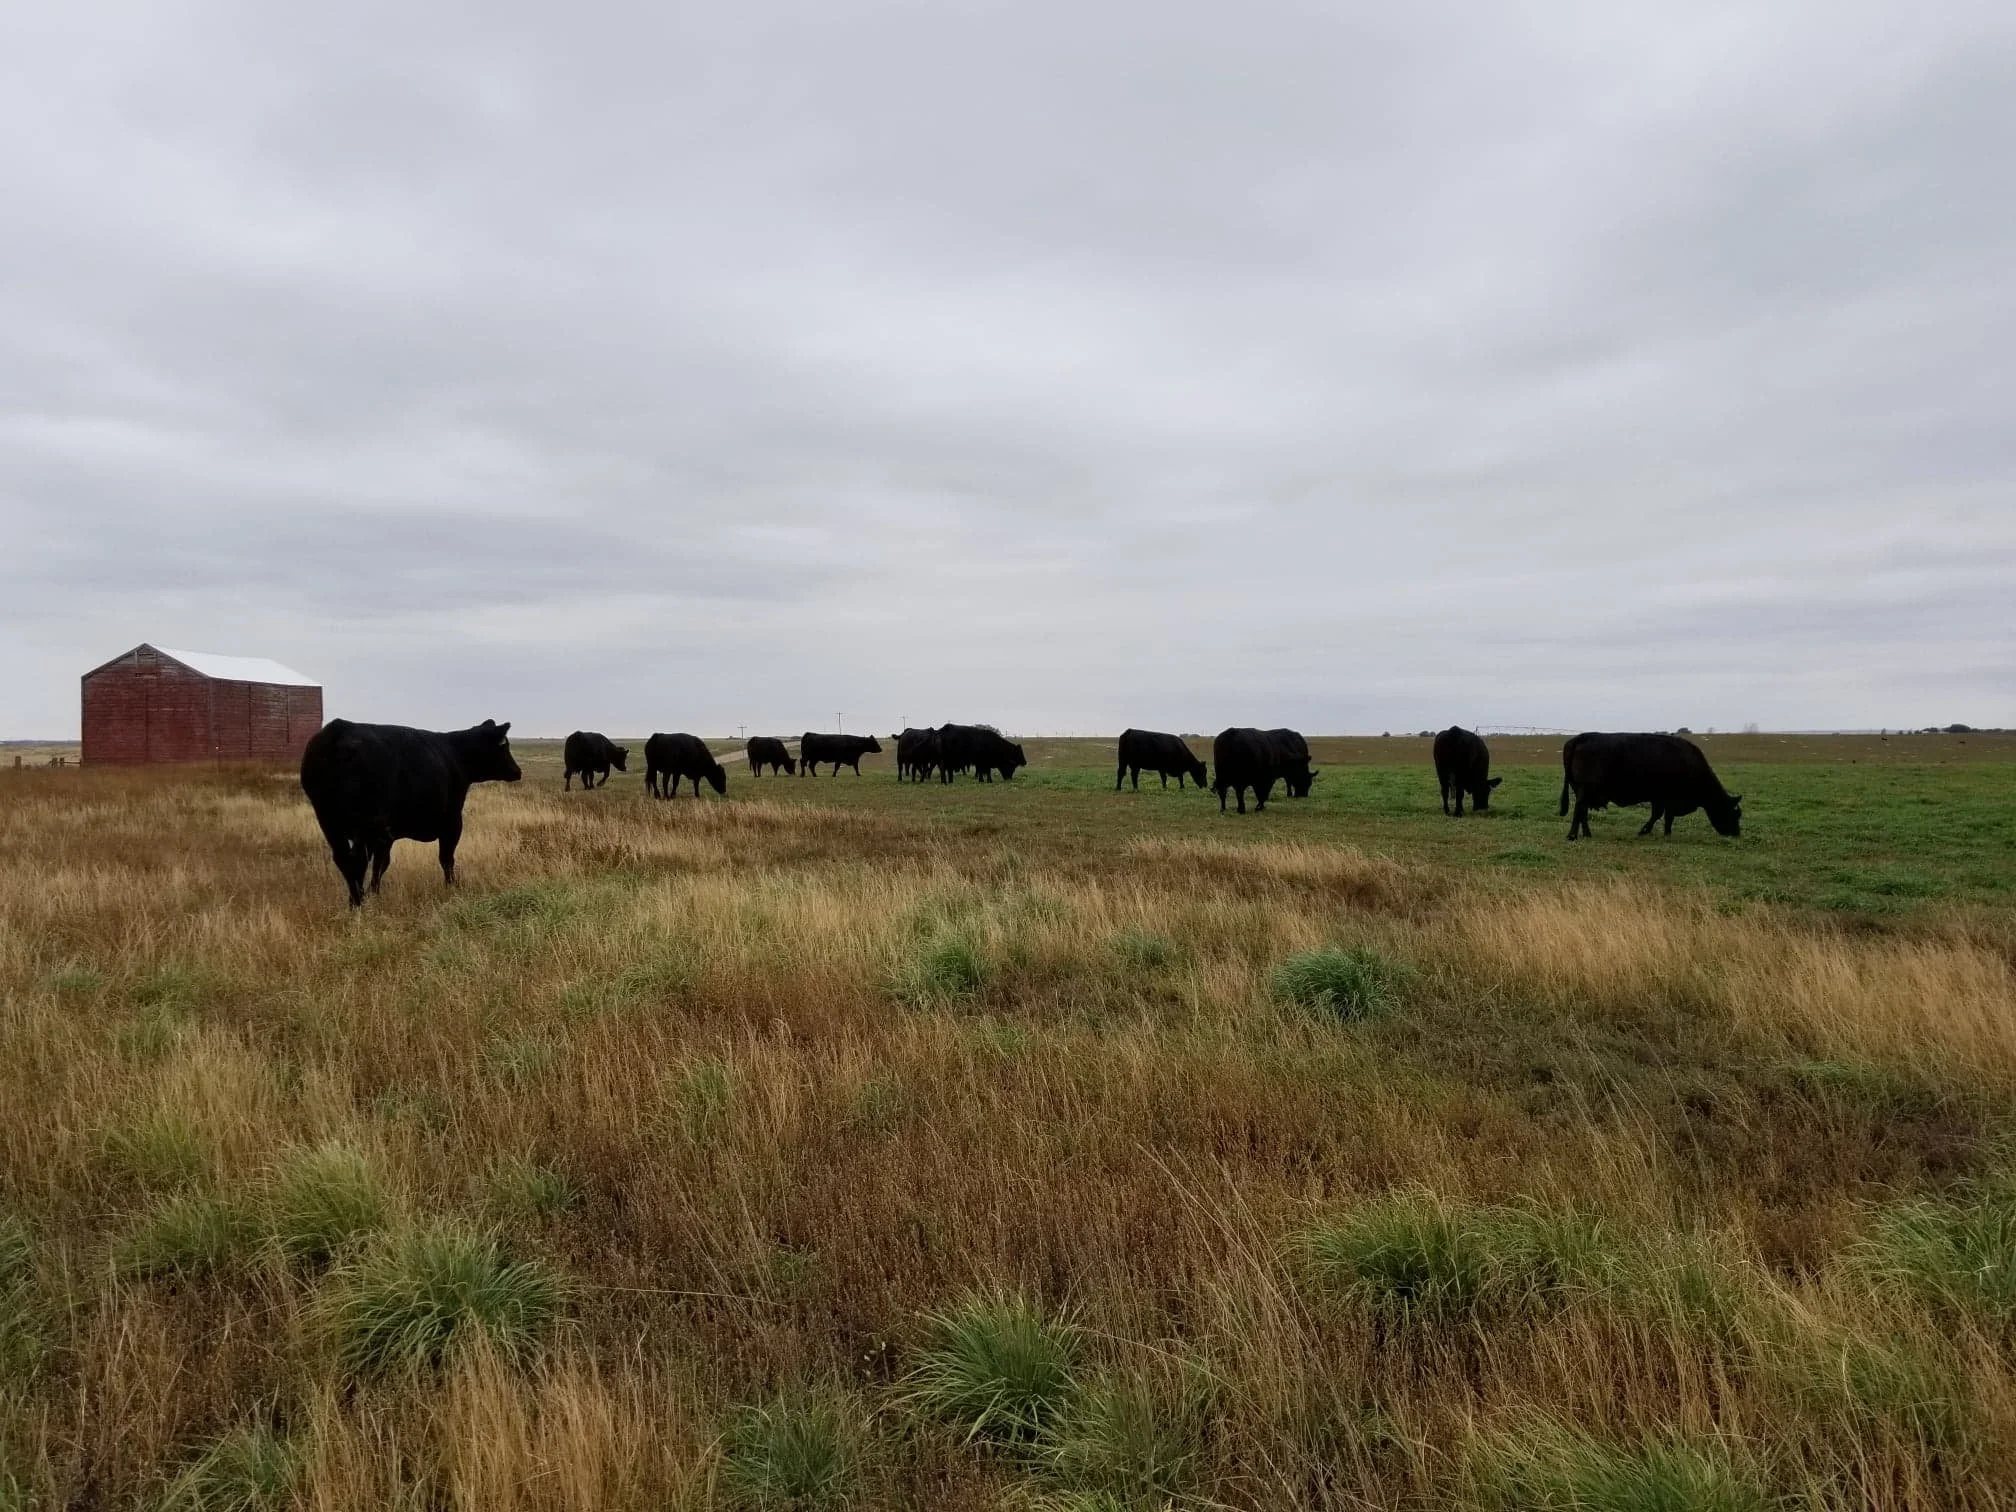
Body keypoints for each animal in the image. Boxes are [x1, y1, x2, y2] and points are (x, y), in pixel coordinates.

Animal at [299, 717, 521, 907]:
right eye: (504, 746)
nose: (518, 771)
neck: (455, 754)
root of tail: (337, 732)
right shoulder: (451, 821)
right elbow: (446, 858)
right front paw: (452, 887)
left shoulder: (383, 836)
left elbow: (380, 865)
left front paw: (374, 894)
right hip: (363, 823)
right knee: (358, 860)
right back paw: (359, 903)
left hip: (329, 821)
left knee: (344, 859)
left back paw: (355, 902)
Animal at [1559, 732, 1742, 842]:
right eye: (1734, 813)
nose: (1736, 833)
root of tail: (1581, 737)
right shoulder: (1664, 798)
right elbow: (1659, 815)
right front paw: (1645, 830)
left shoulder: (1664, 799)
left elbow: (1666, 817)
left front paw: (1666, 833)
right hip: (1585, 791)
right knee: (1579, 809)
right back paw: (1572, 835)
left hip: (1582, 791)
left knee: (1582, 811)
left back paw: (1587, 834)